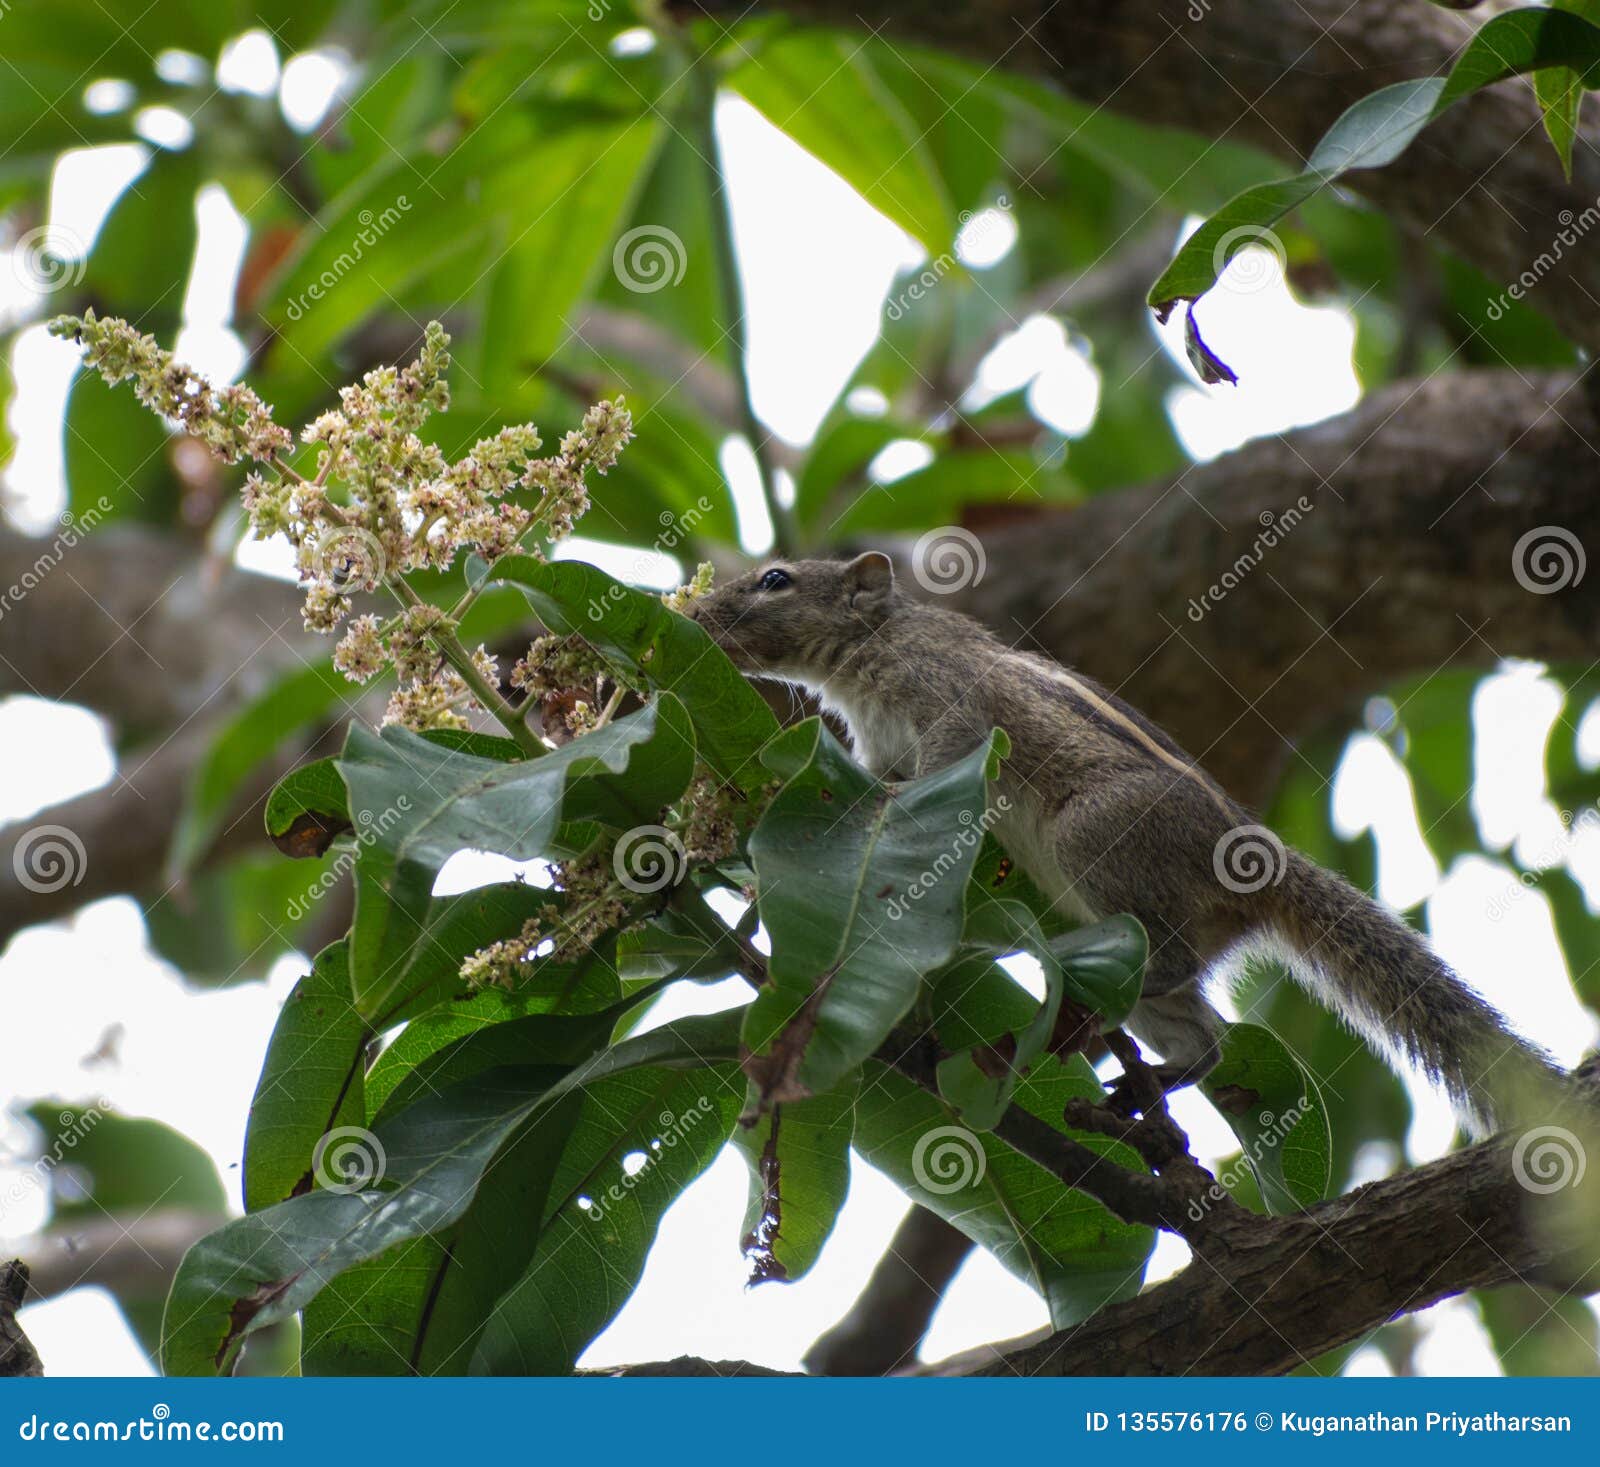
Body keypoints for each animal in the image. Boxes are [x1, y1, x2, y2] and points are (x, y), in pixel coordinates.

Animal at [688, 550, 1566, 1135]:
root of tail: (1266, 870)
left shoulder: (950, 706)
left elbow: (943, 760)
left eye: (775, 580)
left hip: (1096, 837)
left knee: (1172, 965)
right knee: (1204, 1031)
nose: (691, 615)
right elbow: (875, 772)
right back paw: (1160, 1080)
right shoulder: (874, 743)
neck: (868, 649)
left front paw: (895, 807)